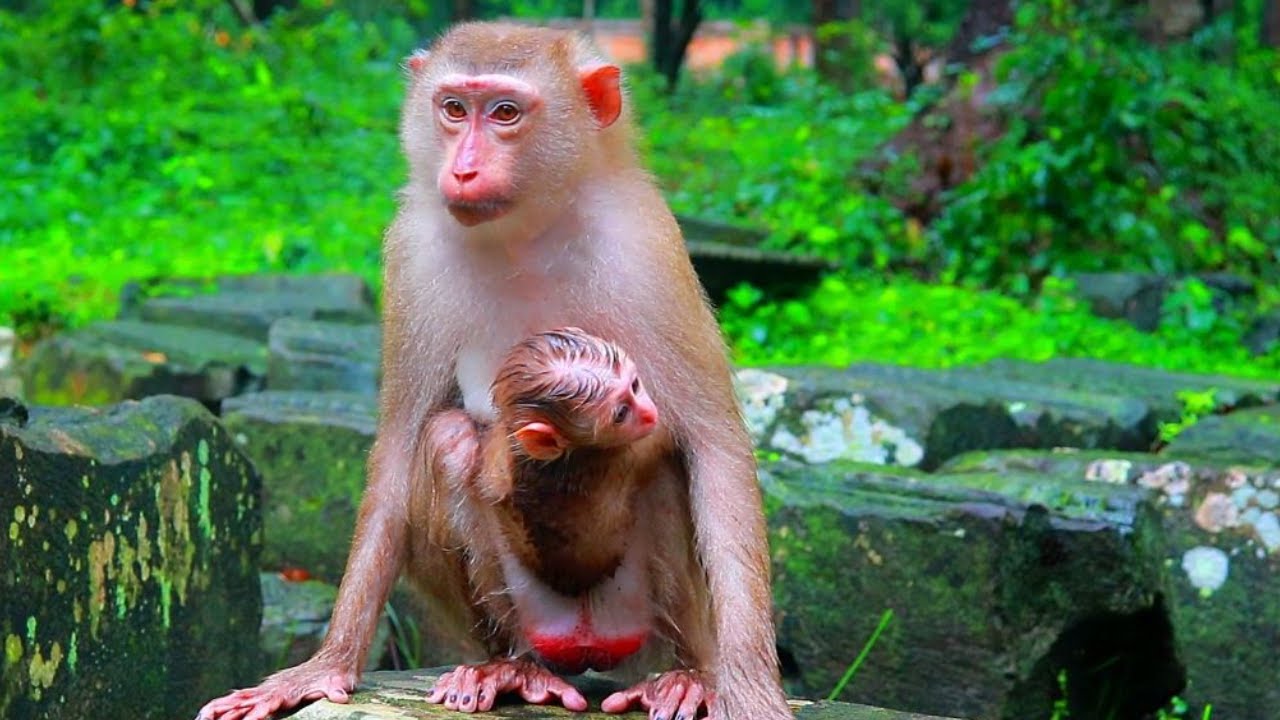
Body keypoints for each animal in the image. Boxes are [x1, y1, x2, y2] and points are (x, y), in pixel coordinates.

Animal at [196, 21, 791, 720]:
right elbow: (400, 449)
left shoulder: (647, 248)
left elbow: (713, 448)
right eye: (455, 108)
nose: (463, 167)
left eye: (505, 113)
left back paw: (683, 674)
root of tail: (585, 644)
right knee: (448, 441)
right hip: (539, 616)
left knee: (665, 451)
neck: (526, 230)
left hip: (630, 619)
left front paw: (748, 687)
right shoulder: (414, 254)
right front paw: (326, 664)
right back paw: (512, 667)